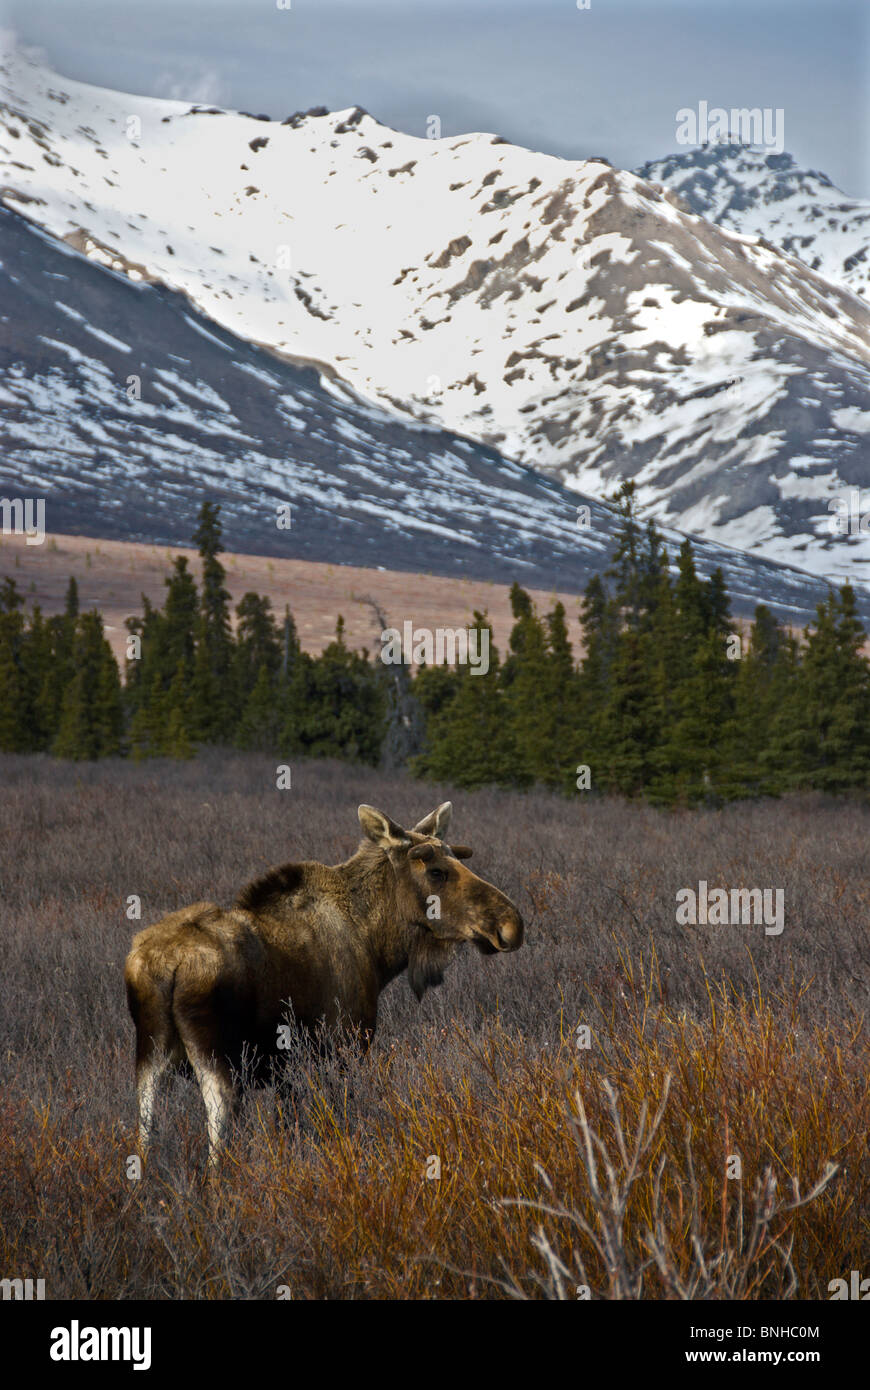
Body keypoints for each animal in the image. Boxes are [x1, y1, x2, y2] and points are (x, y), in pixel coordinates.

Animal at [124, 801, 523, 1166]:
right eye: (438, 871)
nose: (511, 923)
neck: (377, 947)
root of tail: (169, 966)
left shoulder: (287, 1071)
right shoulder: (345, 1047)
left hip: (149, 1058)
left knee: (144, 1131)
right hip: (219, 1065)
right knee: (217, 1140)